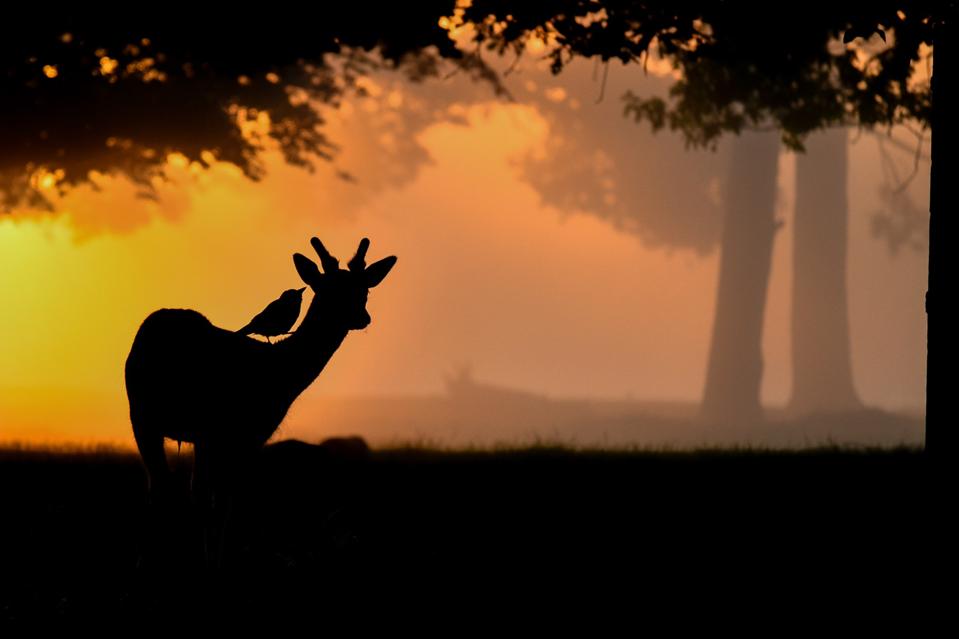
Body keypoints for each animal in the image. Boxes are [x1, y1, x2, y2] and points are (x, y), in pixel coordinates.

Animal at [124, 236, 395, 563]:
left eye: (364, 289)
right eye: (328, 290)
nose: (361, 317)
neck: (275, 377)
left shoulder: (247, 437)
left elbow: (225, 500)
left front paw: (217, 556)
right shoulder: (219, 430)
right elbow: (214, 499)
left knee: (177, 488)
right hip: (142, 416)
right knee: (163, 486)